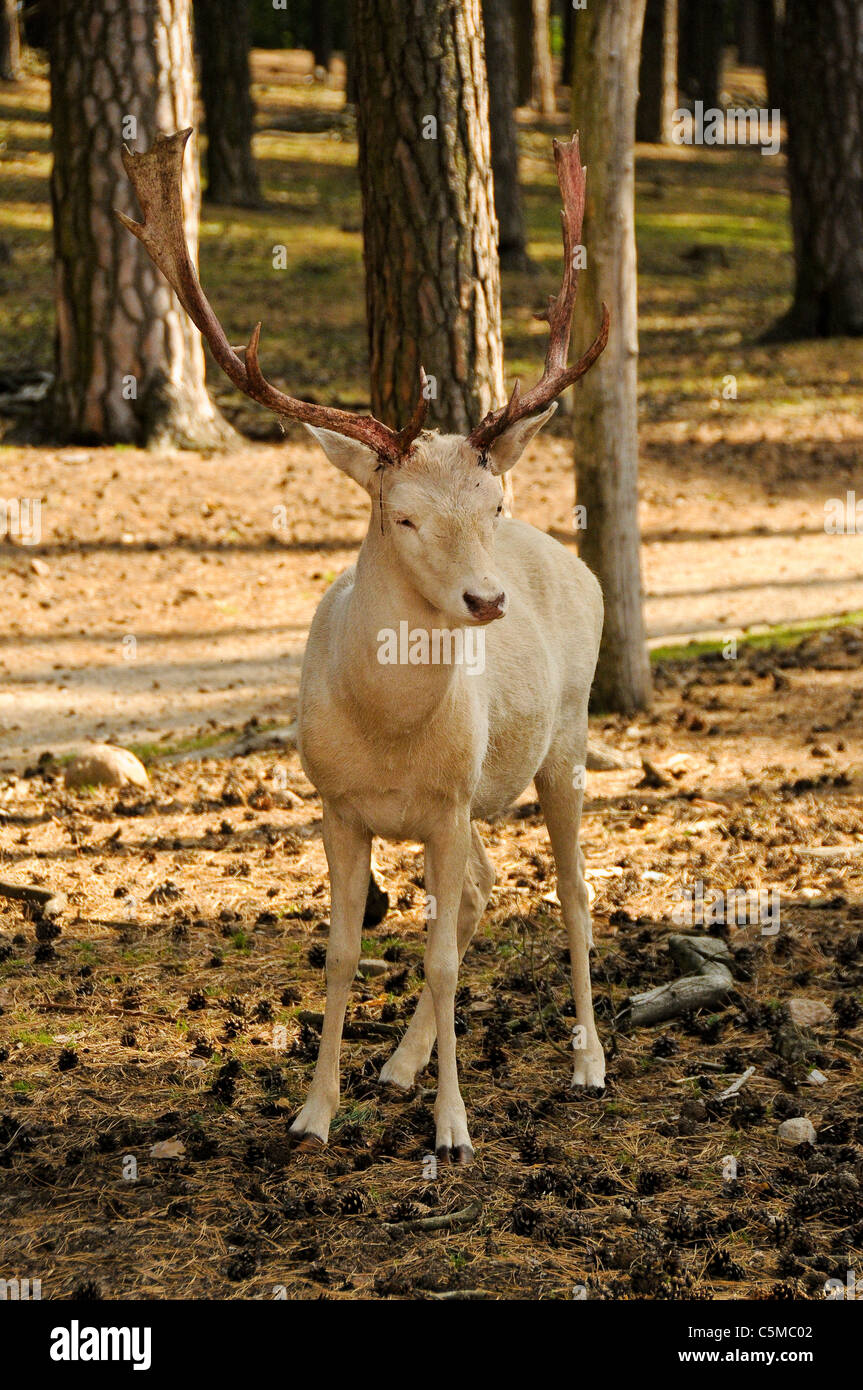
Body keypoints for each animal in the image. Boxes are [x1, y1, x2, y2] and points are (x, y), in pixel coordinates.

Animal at [119, 130, 610, 1164]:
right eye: (404, 515)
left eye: (491, 502)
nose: (486, 599)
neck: (386, 735)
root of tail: (571, 560)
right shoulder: (340, 805)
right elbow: (347, 951)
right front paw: (315, 1112)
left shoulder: (447, 804)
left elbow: (438, 957)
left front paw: (454, 1129)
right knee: (488, 891)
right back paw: (399, 1064)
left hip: (567, 740)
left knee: (573, 892)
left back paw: (588, 1061)